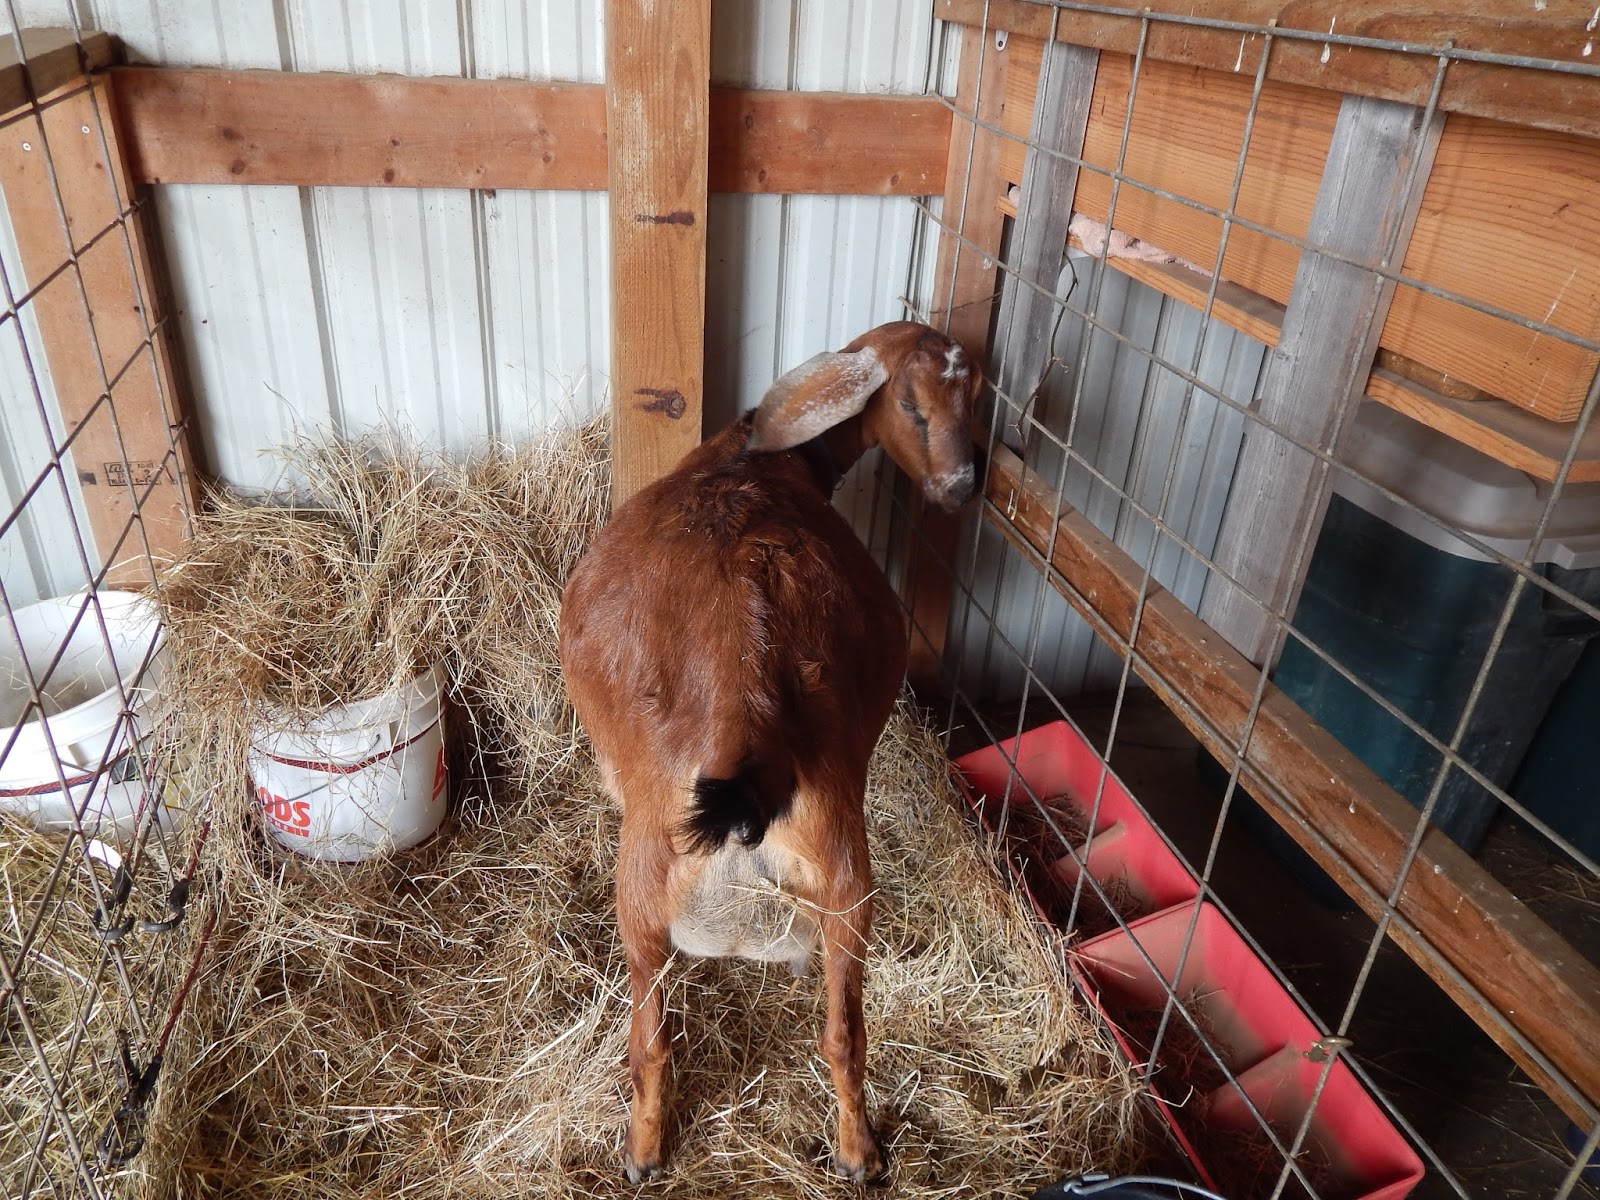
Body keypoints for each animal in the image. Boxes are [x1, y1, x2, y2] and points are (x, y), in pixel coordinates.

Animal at [558, 320, 980, 1183]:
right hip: (846, 882)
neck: (758, 458)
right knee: (843, 1033)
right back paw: (860, 1154)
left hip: (642, 895)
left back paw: (643, 1153)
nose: (961, 488)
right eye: (915, 407)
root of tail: (741, 714)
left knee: (649, 1042)